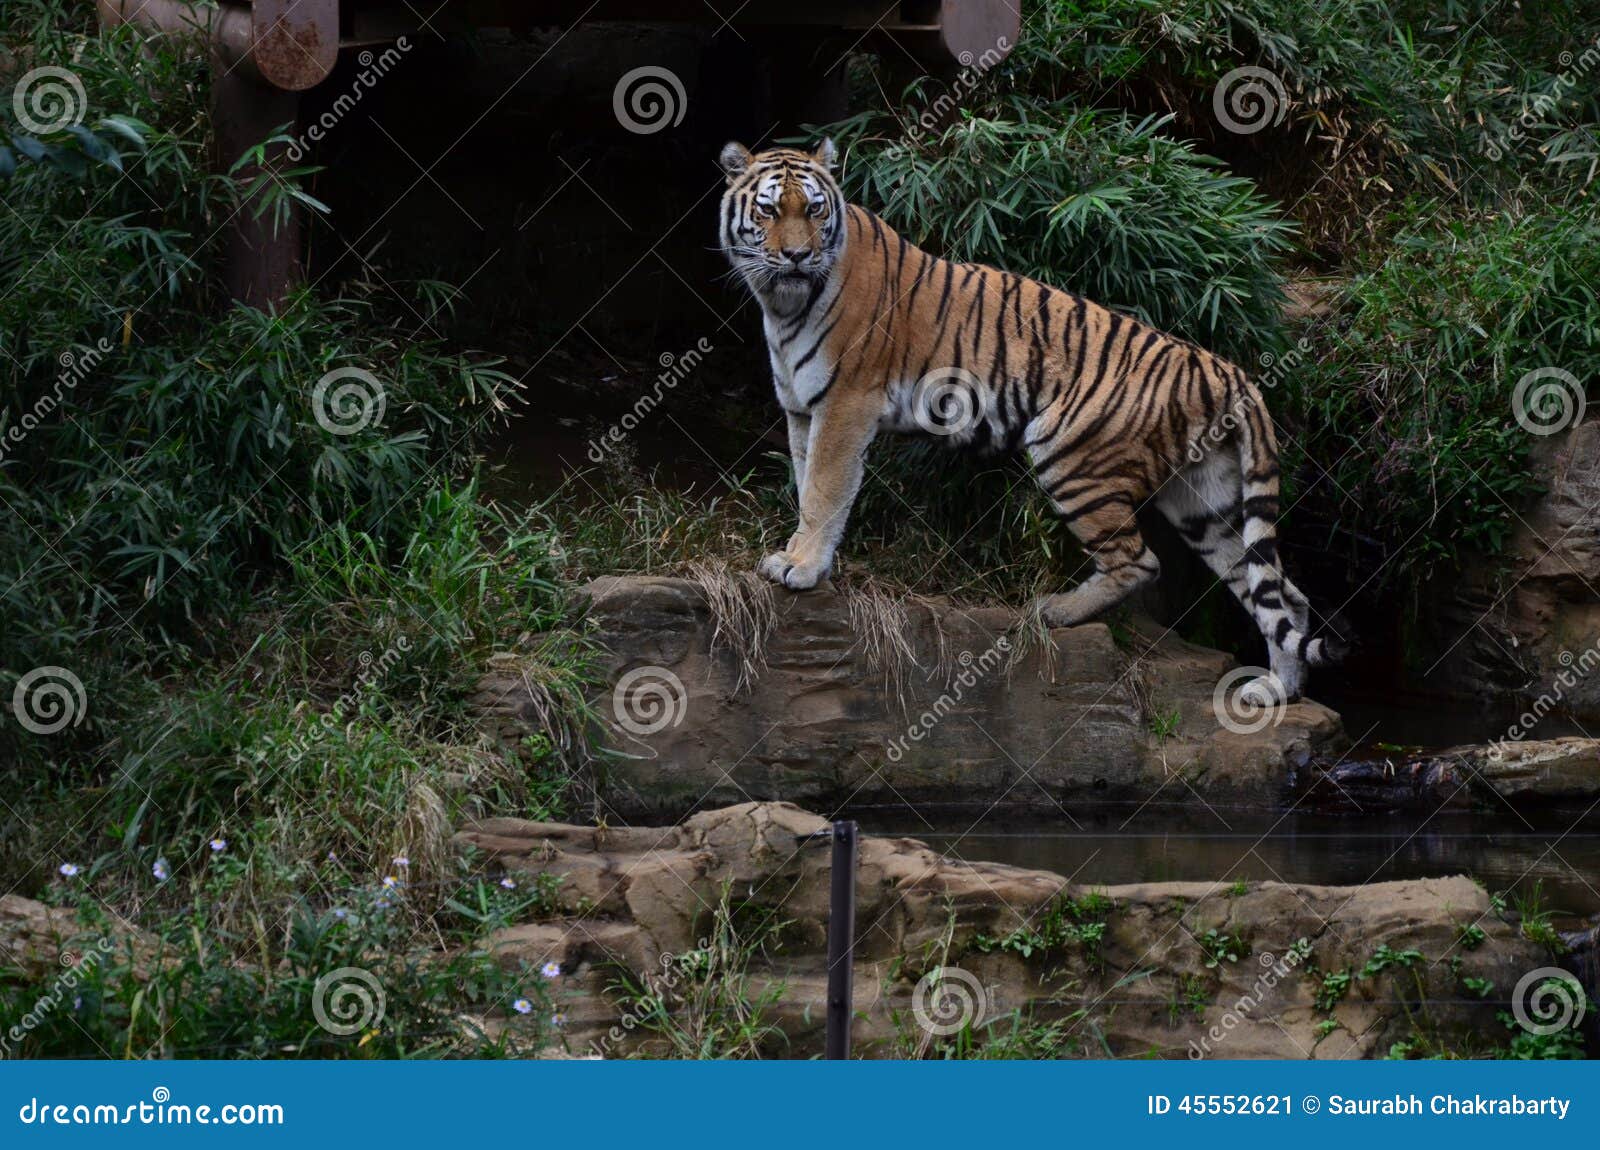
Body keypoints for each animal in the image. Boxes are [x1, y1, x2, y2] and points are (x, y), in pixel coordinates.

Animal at [717, 138, 1344, 704]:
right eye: (769, 211)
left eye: (814, 210)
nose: (797, 256)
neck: (783, 303)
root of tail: (1226, 369)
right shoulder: (803, 408)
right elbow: (808, 485)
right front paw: (805, 557)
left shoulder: (846, 404)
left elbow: (825, 489)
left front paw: (801, 568)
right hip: (1204, 501)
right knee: (1281, 594)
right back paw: (1276, 693)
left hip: (1072, 457)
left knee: (1141, 561)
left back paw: (1055, 611)